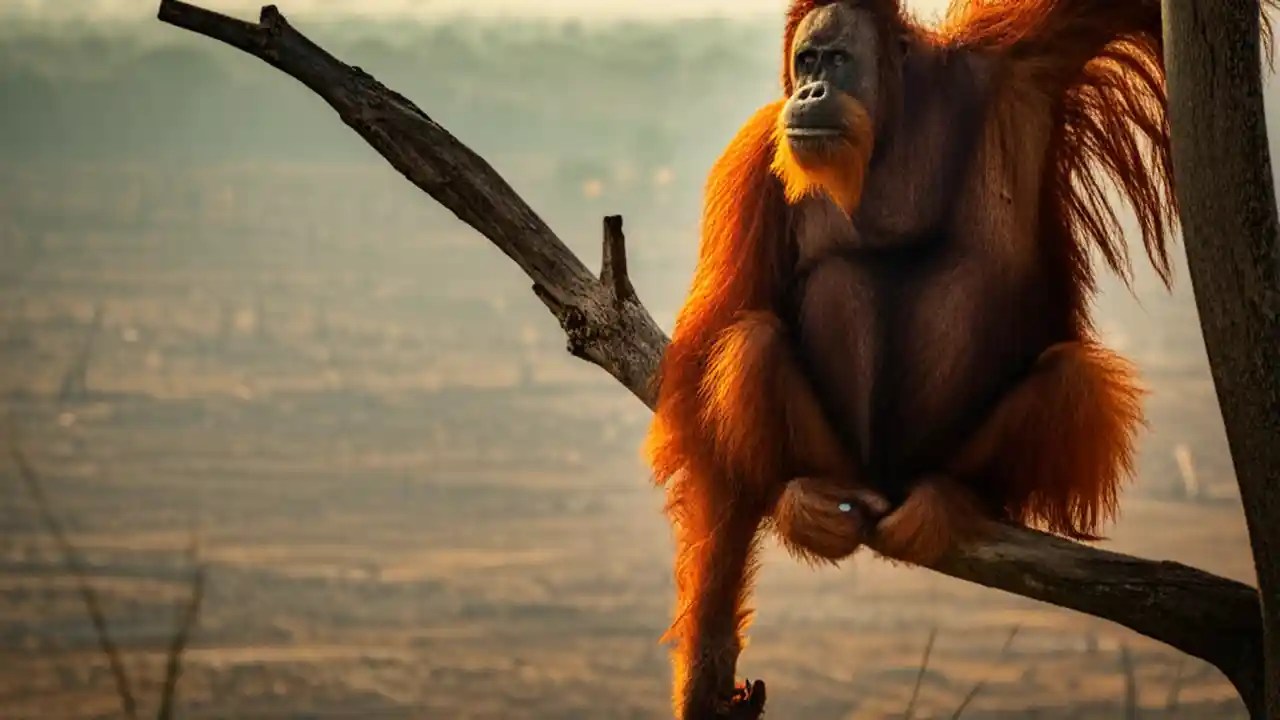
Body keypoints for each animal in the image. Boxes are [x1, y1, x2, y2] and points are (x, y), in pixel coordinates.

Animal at [643, 1, 1179, 718]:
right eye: (806, 63)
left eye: (836, 60)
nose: (810, 92)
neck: (889, 136)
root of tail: (888, 482)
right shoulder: (758, 157)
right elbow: (713, 359)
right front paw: (706, 675)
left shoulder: (1024, 59)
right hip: (843, 459)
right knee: (750, 342)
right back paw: (804, 499)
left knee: (1073, 380)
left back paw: (957, 499)